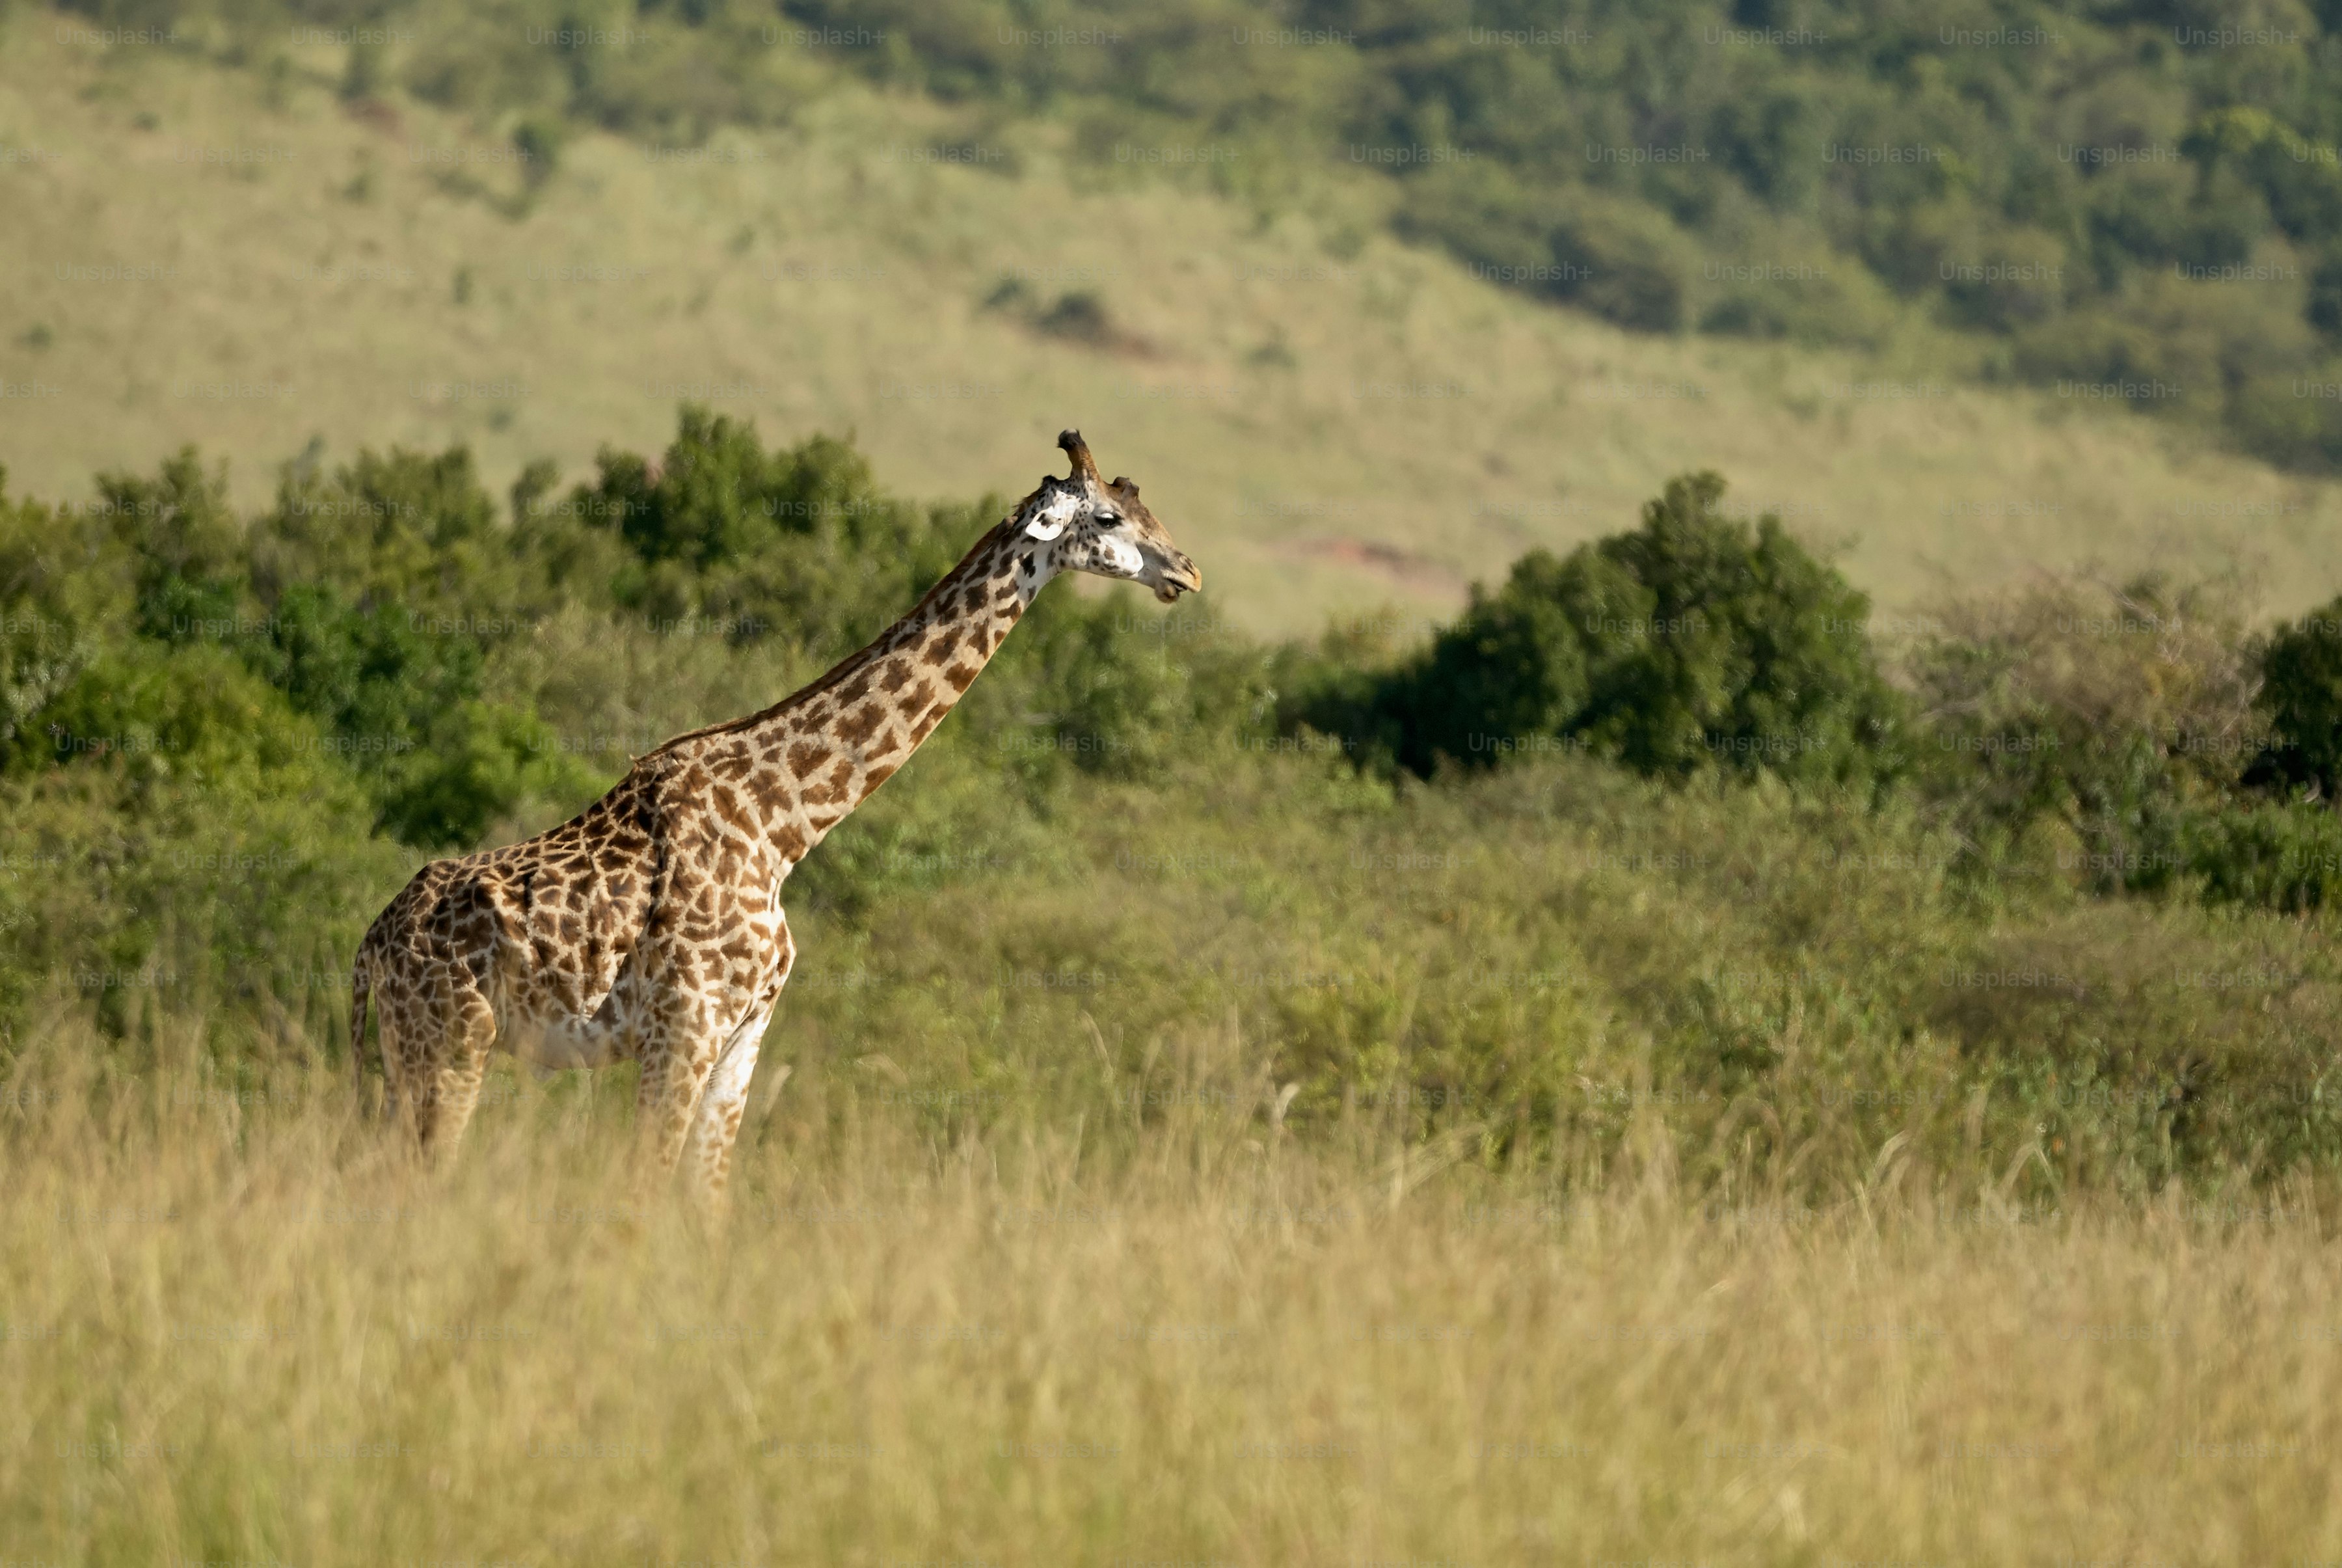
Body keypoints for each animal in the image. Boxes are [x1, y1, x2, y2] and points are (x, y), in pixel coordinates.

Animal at [348, 430, 1199, 1204]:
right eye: (1110, 517)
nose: (1187, 570)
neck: (785, 824)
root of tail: (367, 949)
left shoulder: (743, 1033)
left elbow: (709, 1197)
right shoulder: (682, 1026)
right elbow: (644, 1186)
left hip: (408, 1057)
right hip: (449, 1045)